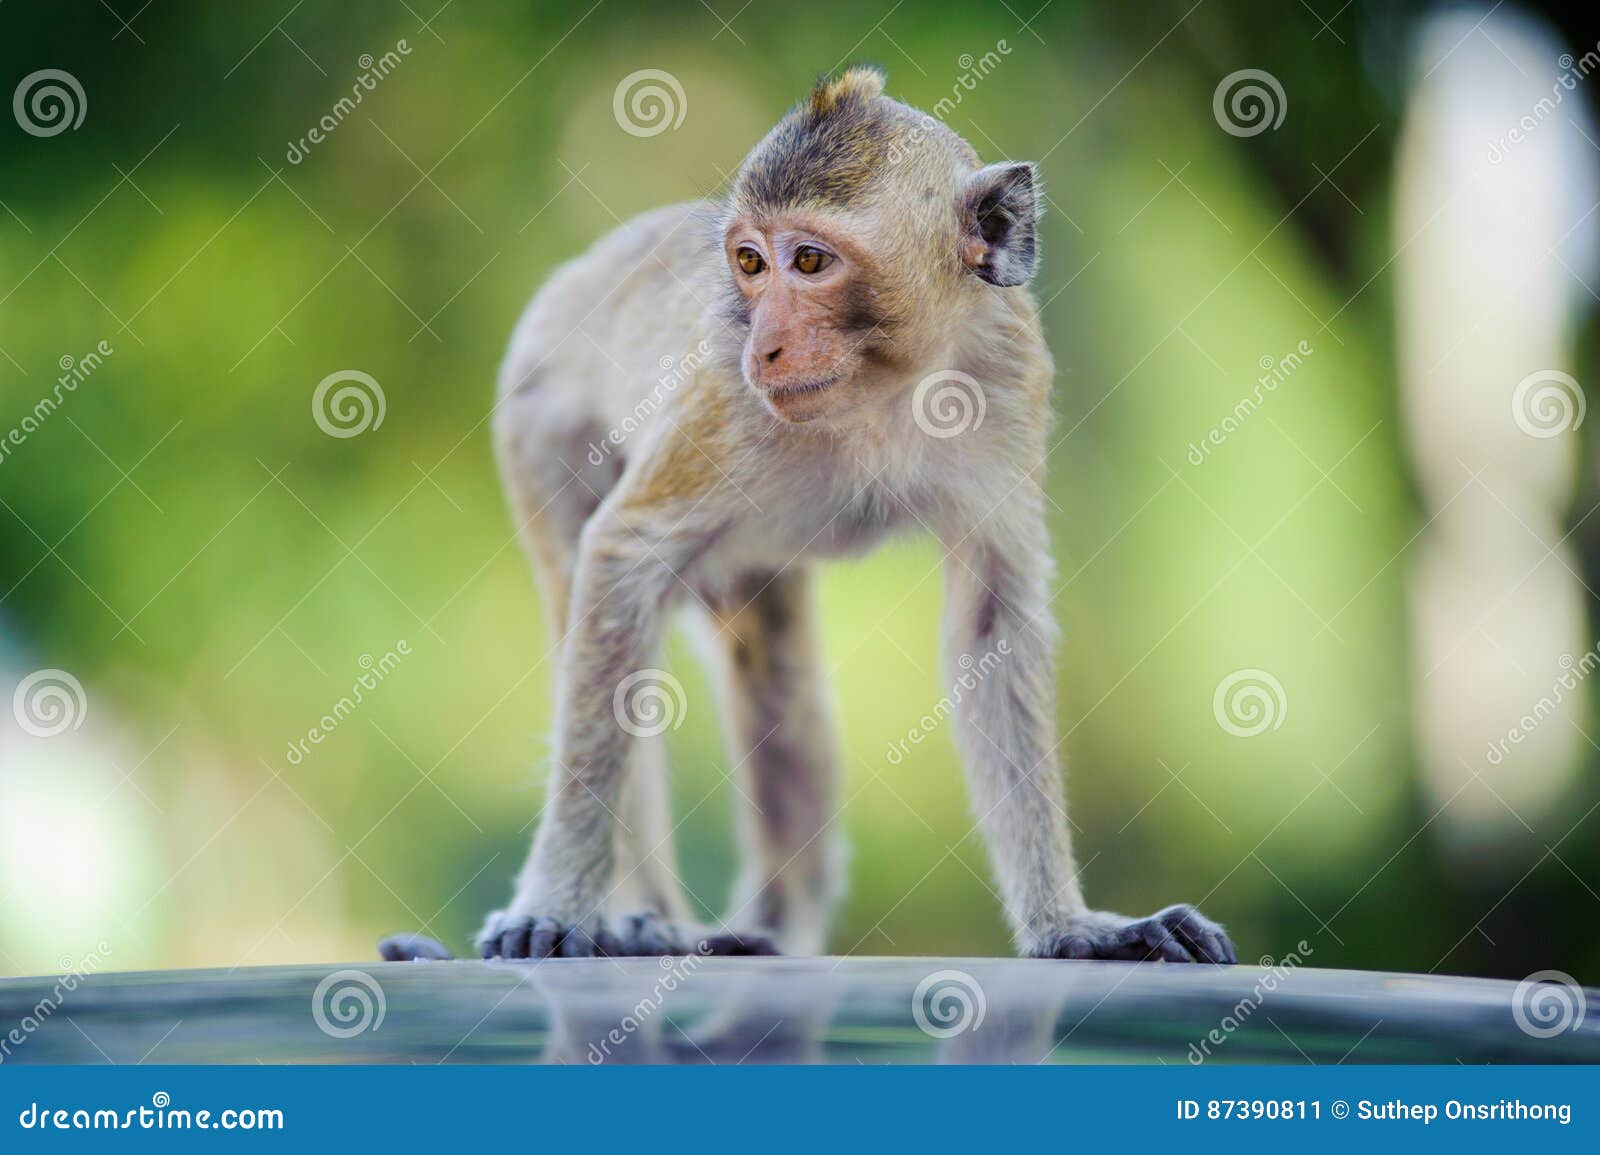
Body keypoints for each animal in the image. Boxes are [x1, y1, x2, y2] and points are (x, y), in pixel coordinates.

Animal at [462, 66, 1235, 965]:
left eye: (809, 261)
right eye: (750, 263)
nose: (762, 344)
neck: (888, 384)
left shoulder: (1009, 379)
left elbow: (993, 622)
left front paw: (1069, 926)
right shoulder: (724, 403)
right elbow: (623, 557)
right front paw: (556, 905)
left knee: (778, 682)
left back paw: (770, 925)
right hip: (538, 417)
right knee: (597, 619)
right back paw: (641, 916)